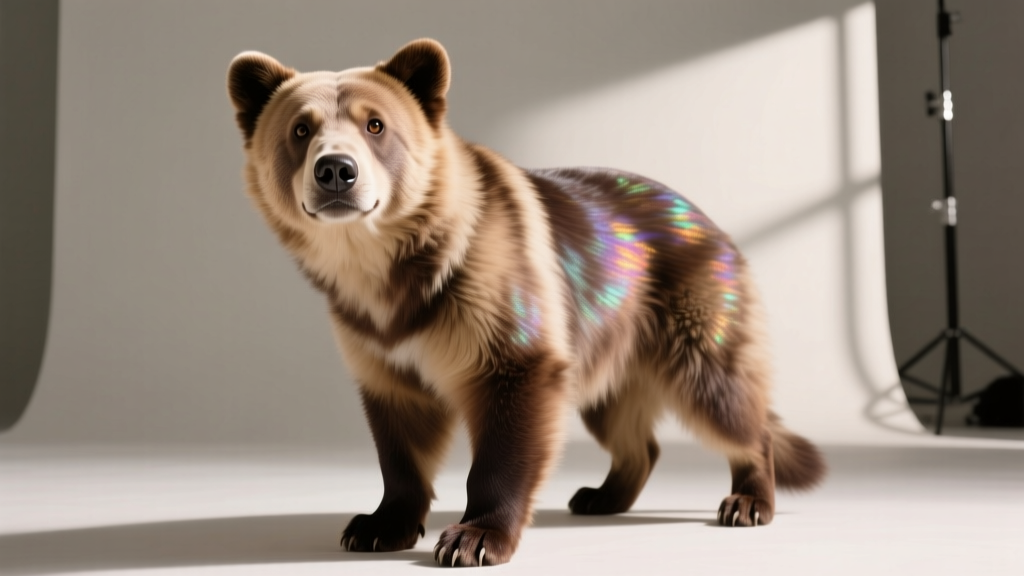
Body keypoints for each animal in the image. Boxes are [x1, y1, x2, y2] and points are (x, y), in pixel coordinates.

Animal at [227, 38, 824, 567]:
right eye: (300, 130)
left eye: (376, 126)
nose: (336, 171)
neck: (385, 267)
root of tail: (705, 217)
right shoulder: (381, 351)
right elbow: (400, 448)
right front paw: (384, 522)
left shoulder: (507, 331)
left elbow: (504, 445)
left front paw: (477, 536)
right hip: (607, 345)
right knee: (631, 433)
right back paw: (605, 495)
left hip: (694, 322)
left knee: (732, 406)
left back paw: (750, 497)